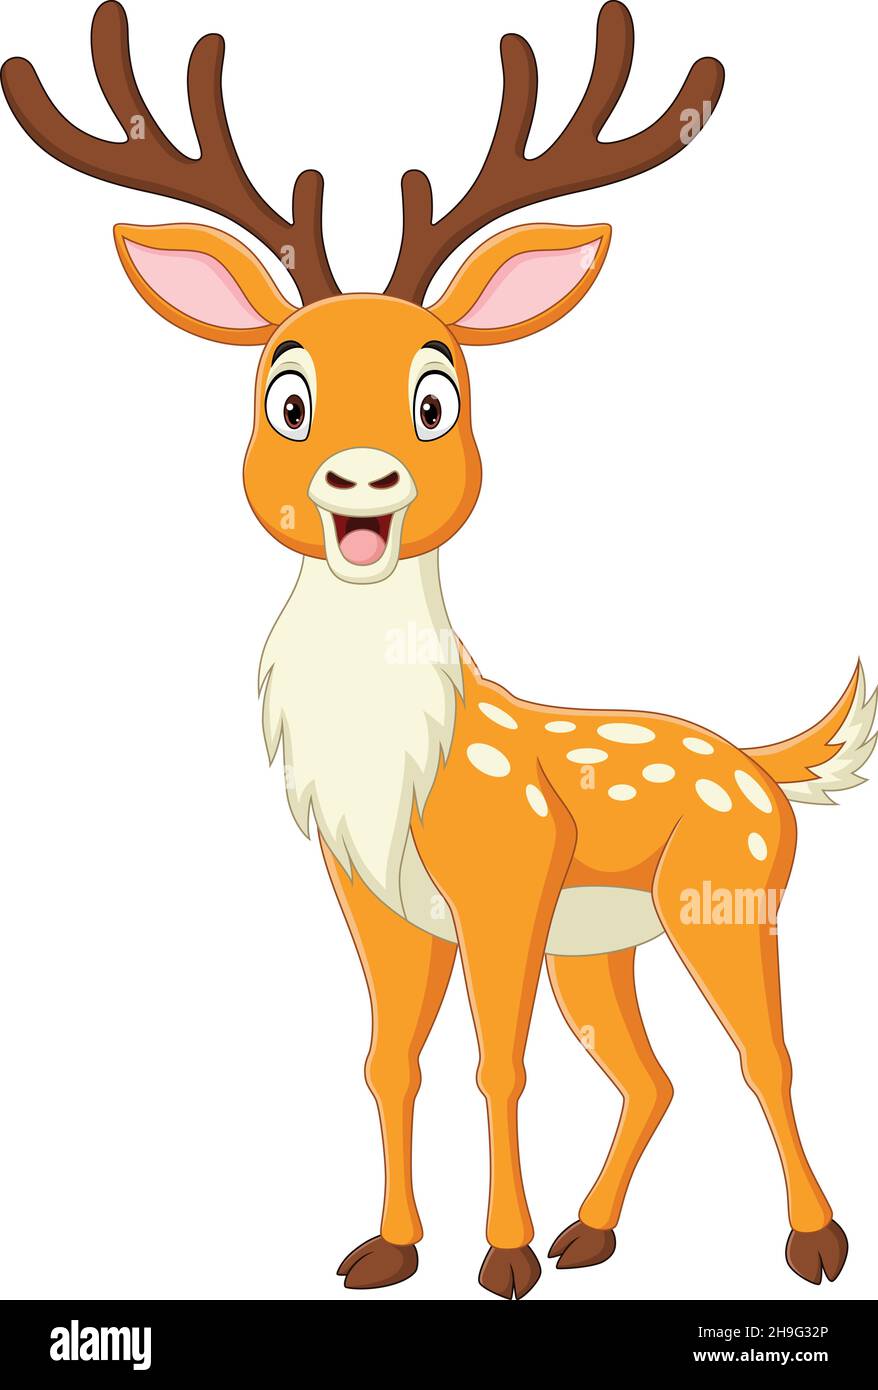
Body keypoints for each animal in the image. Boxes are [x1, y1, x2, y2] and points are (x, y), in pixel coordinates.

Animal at [3, 1, 873, 1301]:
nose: (360, 483)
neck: (400, 768)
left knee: (761, 1055)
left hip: (729, 892)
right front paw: (387, 1246)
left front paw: (498, 1255)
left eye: (434, 396)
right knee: (649, 1072)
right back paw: (589, 1234)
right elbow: (386, 1060)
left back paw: (808, 1244)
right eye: (287, 397)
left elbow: (495, 1063)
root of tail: (764, 766)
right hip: (598, 948)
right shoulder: (373, 897)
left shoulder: (508, 872)